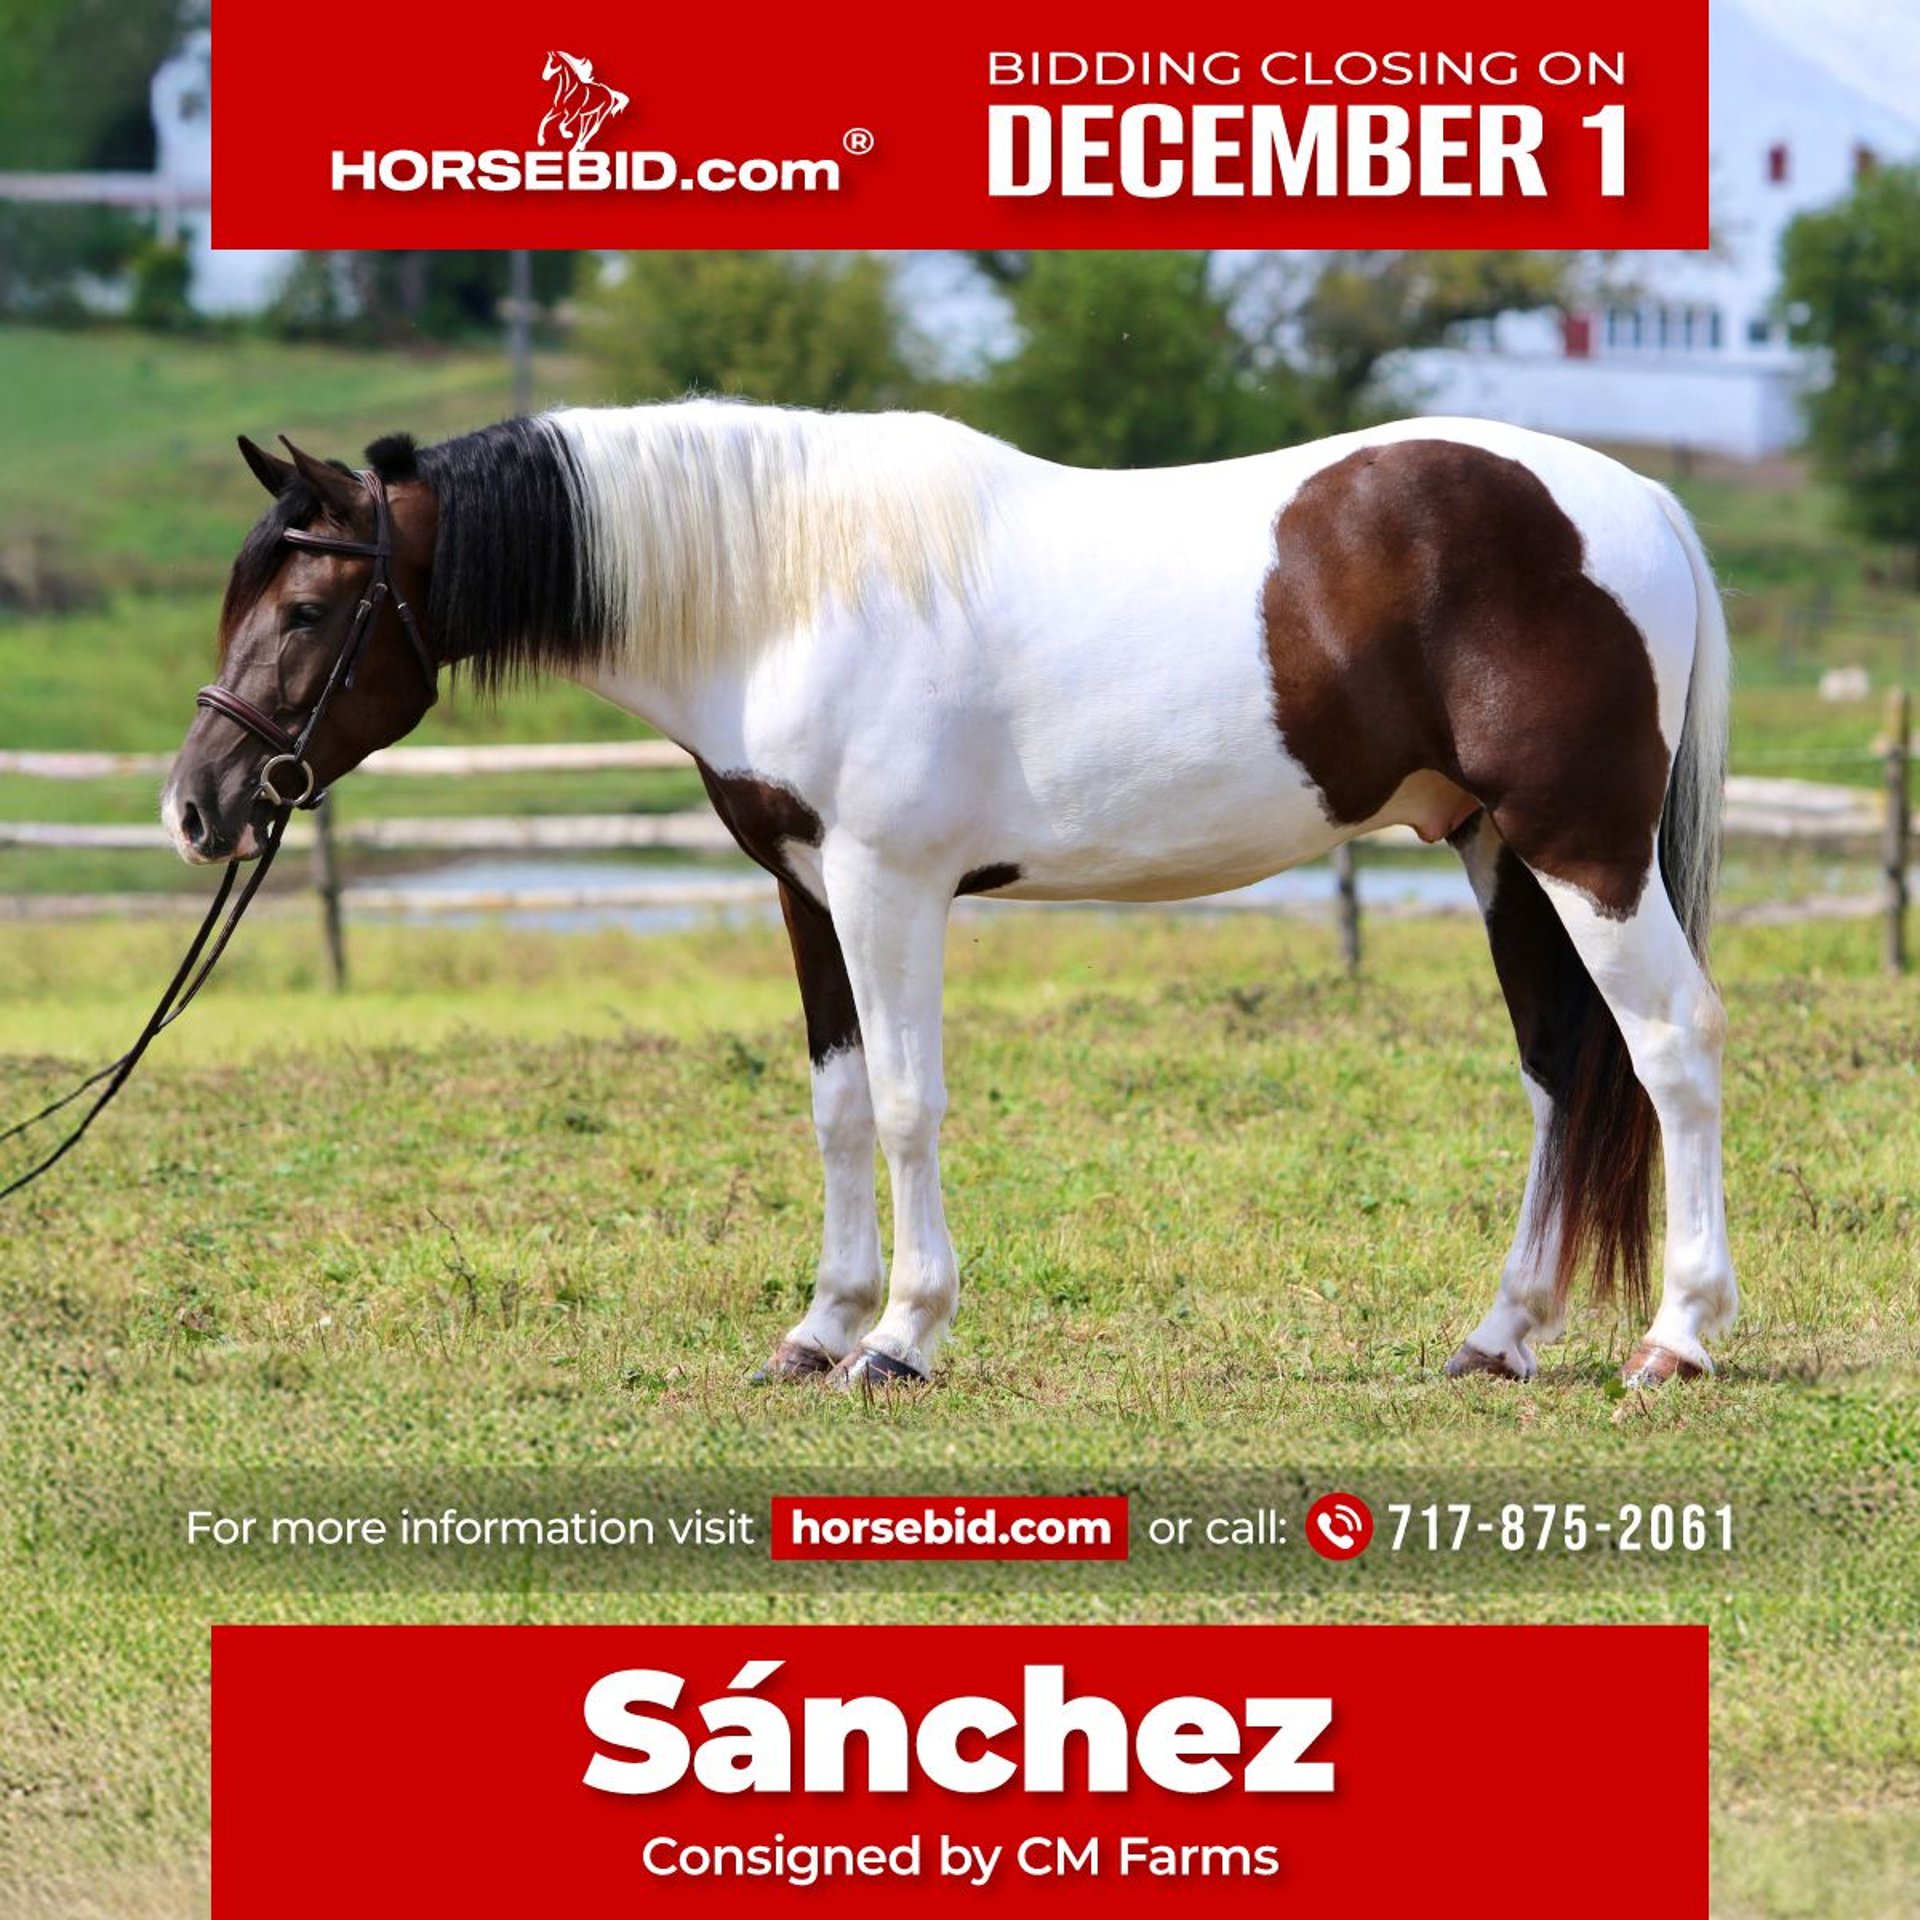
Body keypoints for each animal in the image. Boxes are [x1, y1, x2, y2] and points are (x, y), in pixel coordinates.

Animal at [163, 403, 1734, 1390]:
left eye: (307, 610)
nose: (197, 807)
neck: (785, 593)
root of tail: (1641, 504)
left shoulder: (889, 887)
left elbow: (911, 1104)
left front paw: (901, 1339)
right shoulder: (807, 894)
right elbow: (840, 1106)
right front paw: (816, 1330)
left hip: (1582, 846)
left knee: (1673, 1049)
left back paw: (1678, 1338)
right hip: (1496, 851)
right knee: (1560, 1069)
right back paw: (1501, 1336)